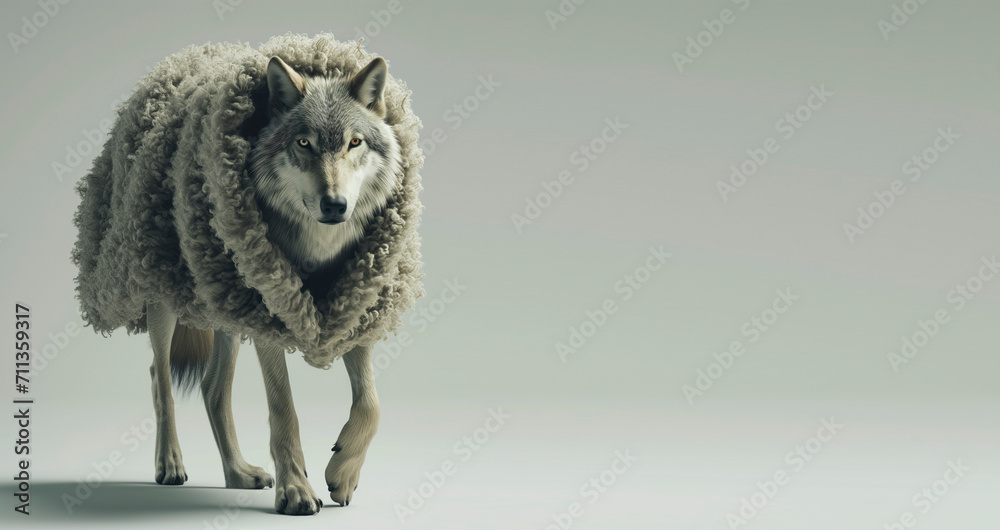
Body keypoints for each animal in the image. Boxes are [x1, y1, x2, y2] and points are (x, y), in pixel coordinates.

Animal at [145, 55, 402, 515]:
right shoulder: (270, 310)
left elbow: (371, 404)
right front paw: (296, 490)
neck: (317, 249)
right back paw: (170, 464)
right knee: (160, 377)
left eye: (354, 143)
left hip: (226, 303)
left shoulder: (354, 300)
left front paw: (342, 474)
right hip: (167, 291)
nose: (335, 205)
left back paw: (237, 474)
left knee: (212, 388)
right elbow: (284, 408)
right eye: (304, 144)